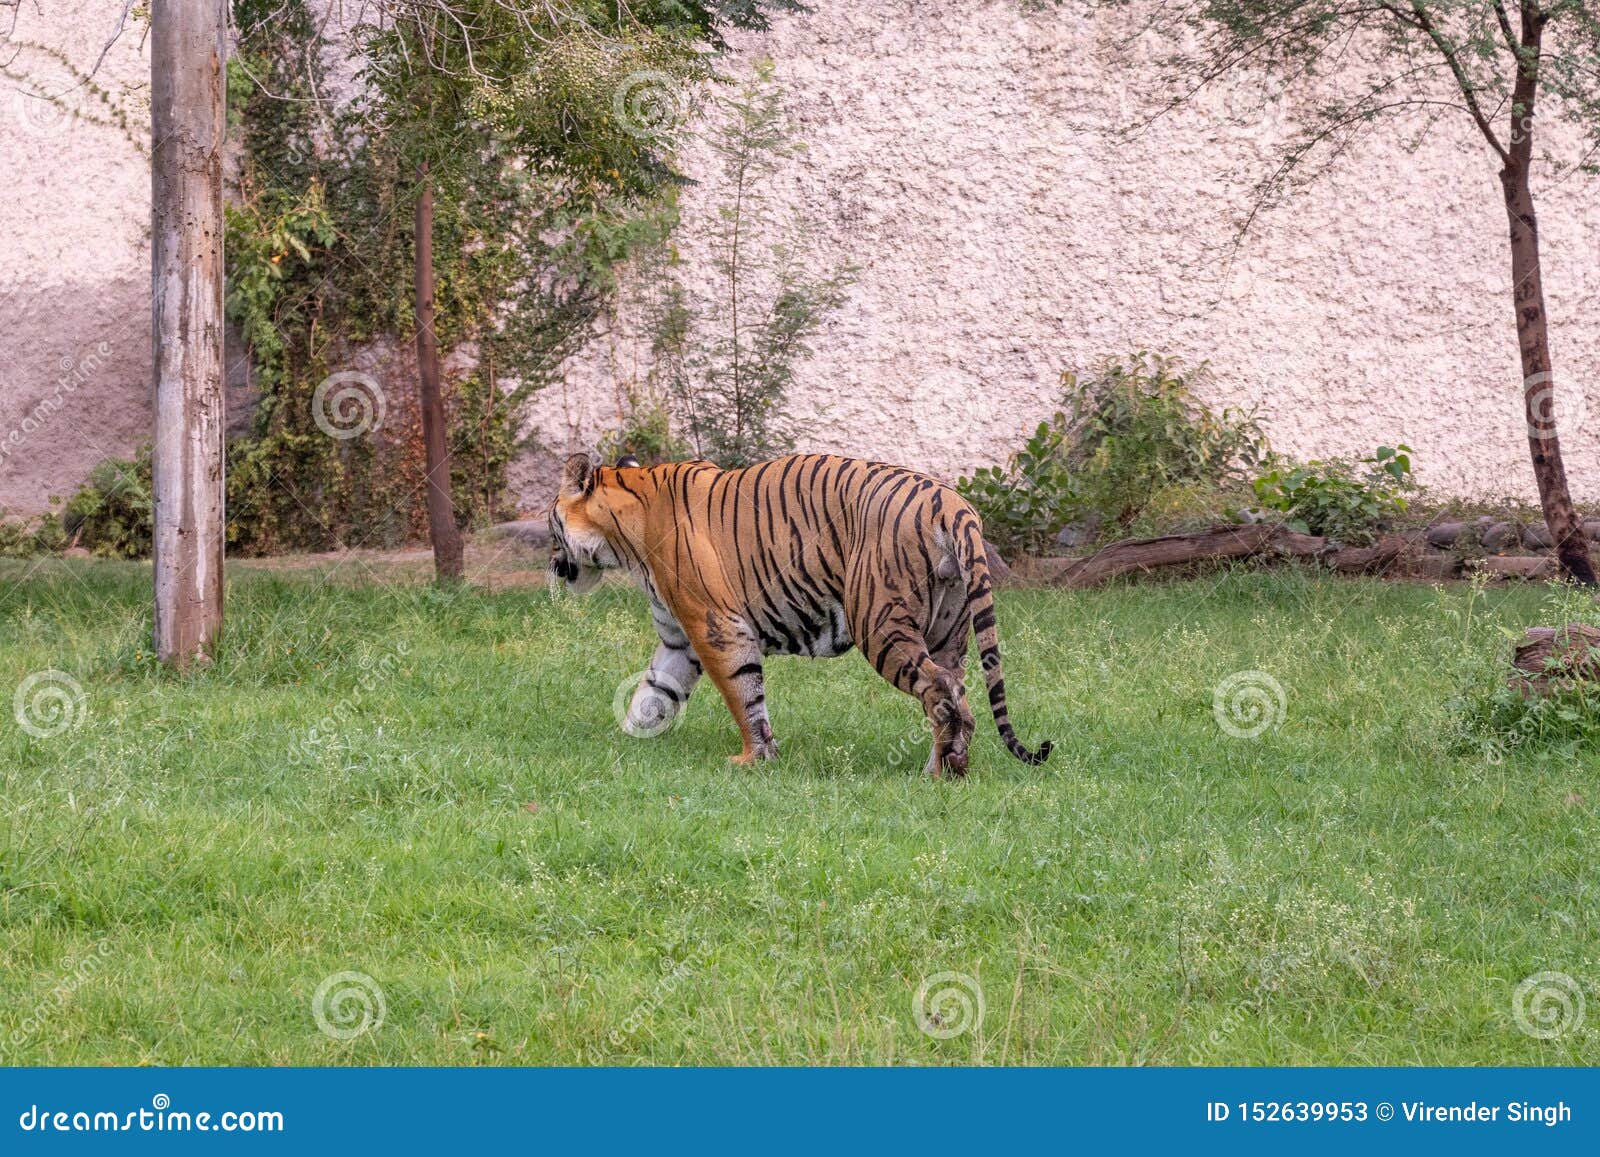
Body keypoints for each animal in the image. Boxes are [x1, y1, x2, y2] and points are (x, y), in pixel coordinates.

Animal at [547, 451, 1052, 777]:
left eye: (551, 528)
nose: (552, 565)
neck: (626, 538)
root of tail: (952, 502)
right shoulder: (679, 638)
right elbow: (654, 693)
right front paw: (627, 741)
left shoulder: (715, 627)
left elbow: (743, 695)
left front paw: (754, 759)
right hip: (948, 631)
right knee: (956, 691)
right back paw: (945, 765)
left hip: (878, 621)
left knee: (939, 686)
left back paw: (942, 771)